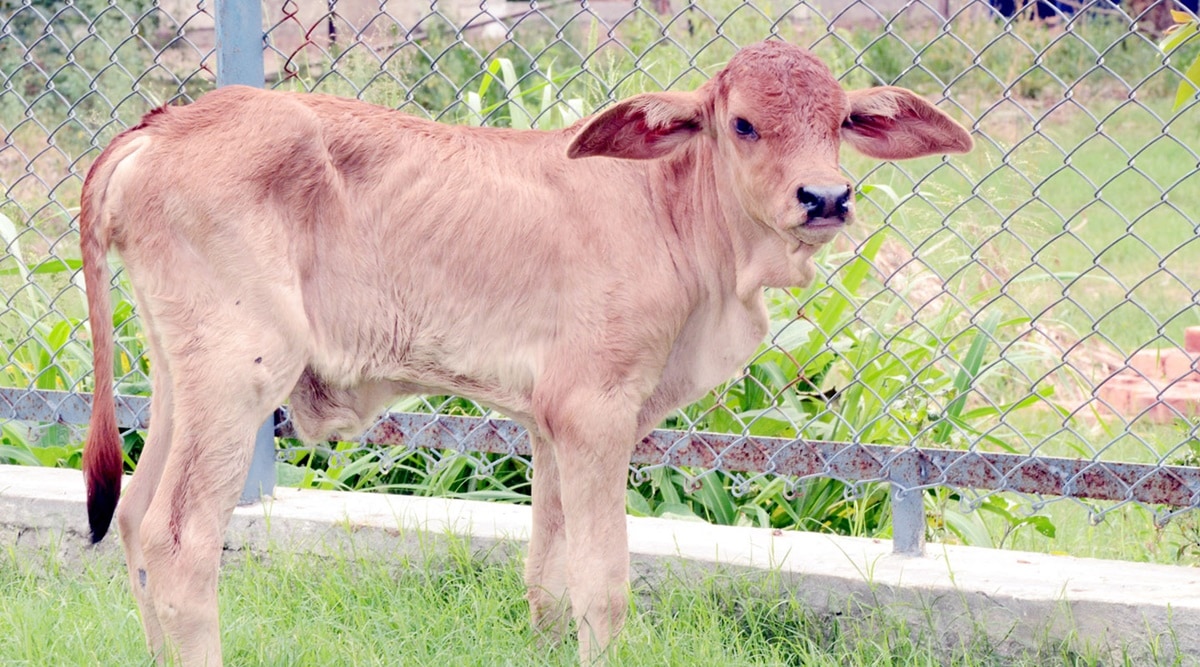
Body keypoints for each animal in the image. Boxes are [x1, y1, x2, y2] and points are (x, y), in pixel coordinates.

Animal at [80, 40, 972, 665]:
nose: (826, 198)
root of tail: (165, 125)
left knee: (132, 516)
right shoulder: (596, 413)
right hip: (240, 370)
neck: (677, 218)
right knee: (179, 540)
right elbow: (602, 585)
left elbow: (547, 577)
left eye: (841, 121)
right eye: (744, 123)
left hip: (181, 375)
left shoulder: (548, 422)